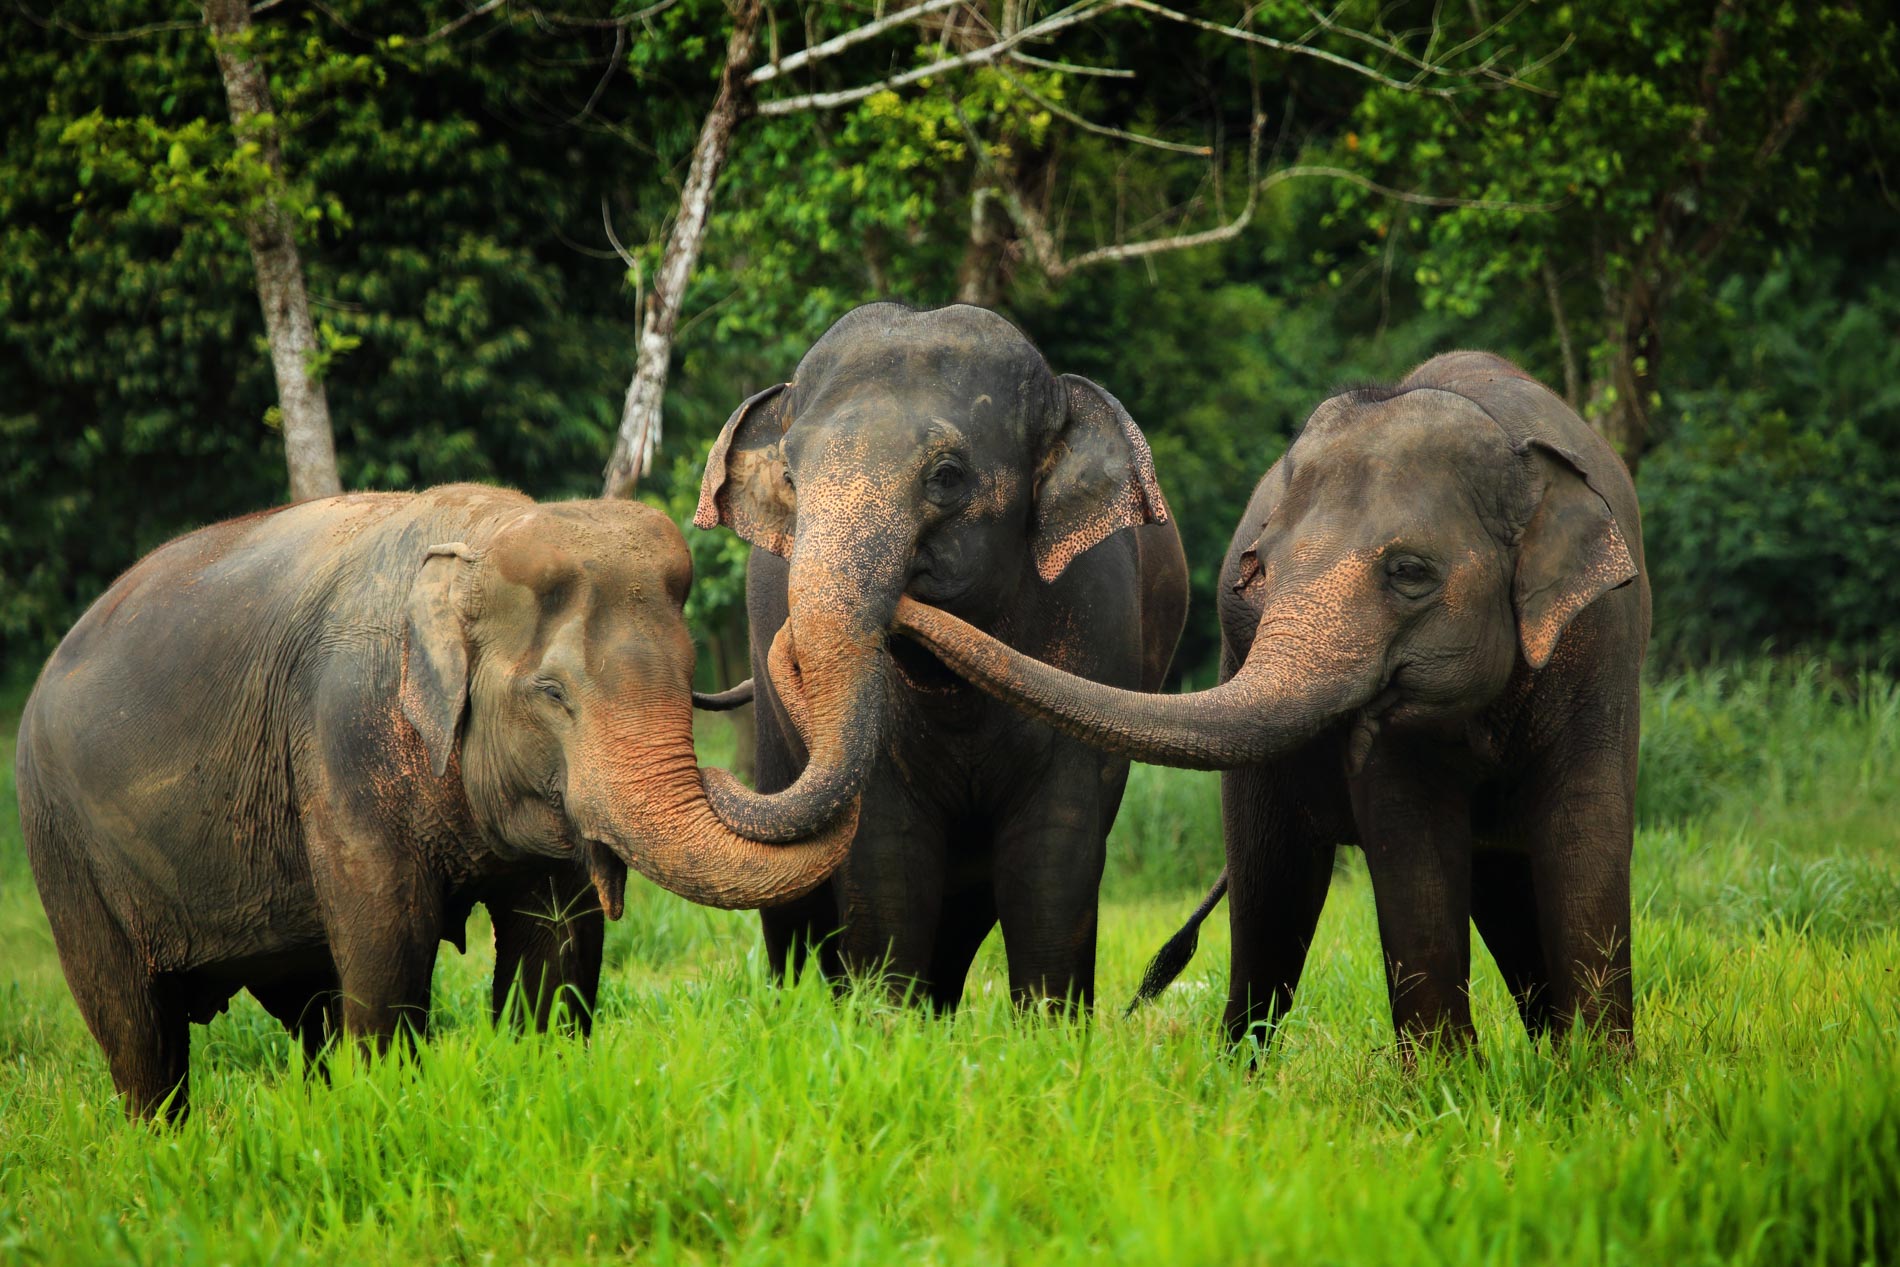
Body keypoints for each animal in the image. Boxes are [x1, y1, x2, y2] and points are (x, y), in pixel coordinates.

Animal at [13, 486, 847, 1116]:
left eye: (688, 675)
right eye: (552, 694)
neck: (478, 538)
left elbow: (556, 945)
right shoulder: (341, 737)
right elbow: (388, 943)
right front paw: (389, 1110)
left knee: (306, 1005)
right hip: (59, 841)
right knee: (138, 1029)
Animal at [684, 303, 1185, 1010]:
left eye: (947, 477)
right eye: (789, 478)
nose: (712, 775)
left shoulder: (1097, 630)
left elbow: (1054, 856)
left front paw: (1052, 1028)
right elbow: (887, 855)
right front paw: (882, 1022)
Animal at [896, 351, 1656, 1056]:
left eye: (1410, 572)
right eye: (1257, 571)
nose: (904, 598)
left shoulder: (1604, 640)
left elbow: (1586, 827)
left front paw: (1598, 1082)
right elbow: (1412, 844)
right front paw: (1454, 1086)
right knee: (1272, 896)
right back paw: (1238, 1076)